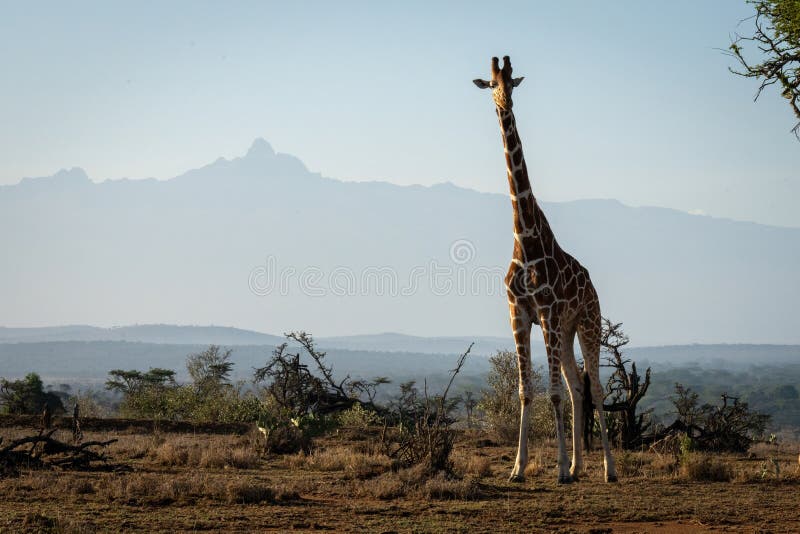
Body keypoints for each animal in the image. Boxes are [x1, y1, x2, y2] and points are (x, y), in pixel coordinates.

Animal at [473, 56, 616, 484]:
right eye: (491, 84)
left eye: (512, 84)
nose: (504, 103)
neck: (525, 237)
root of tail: (593, 285)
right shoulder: (519, 314)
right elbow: (526, 391)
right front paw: (518, 469)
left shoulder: (548, 313)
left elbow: (551, 392)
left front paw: (557, 471)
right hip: (567, 332)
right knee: (576, 387)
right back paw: (577, 465)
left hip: (587, 323)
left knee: (594, 389)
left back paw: (607, 469)